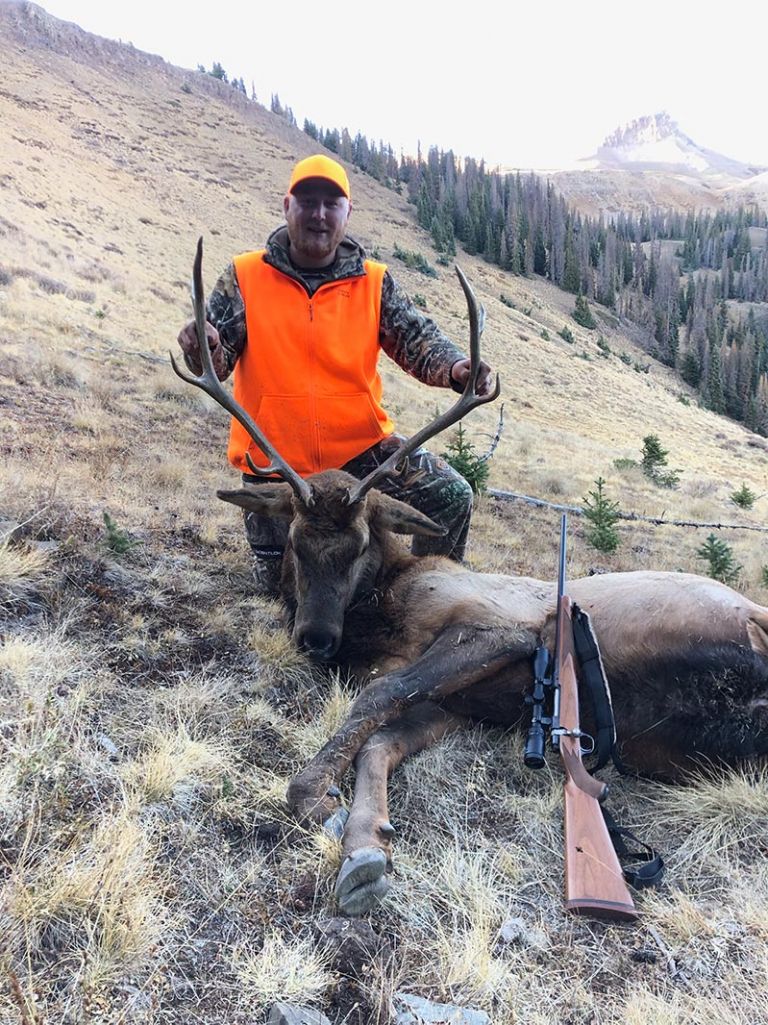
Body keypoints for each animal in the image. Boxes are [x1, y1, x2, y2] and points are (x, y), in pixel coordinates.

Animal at [172, 240, 768, 916]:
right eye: (296, 542)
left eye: (359, 545)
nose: (316, 639)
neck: (385, 616)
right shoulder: (452, 705)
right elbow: (378, 740)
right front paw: (364, 847)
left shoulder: (498, 628)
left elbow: (376, 696)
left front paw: (311, 790)